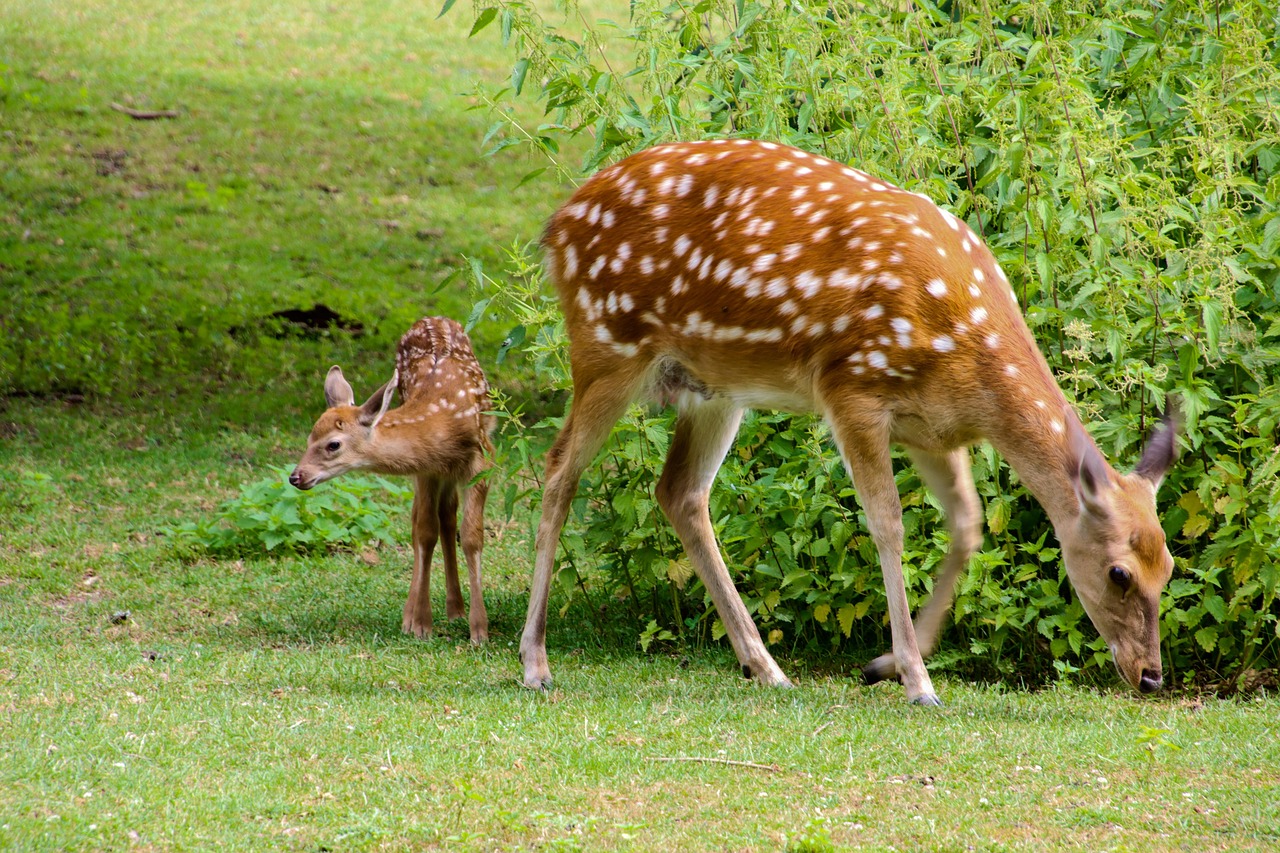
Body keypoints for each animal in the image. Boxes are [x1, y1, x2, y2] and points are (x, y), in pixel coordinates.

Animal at [289, 316, 495, 645]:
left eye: (333, 444)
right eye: (309, 438)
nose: (297, 476)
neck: (443, 421)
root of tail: (432, 318)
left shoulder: (482, 459)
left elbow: (472, 536)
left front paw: (479, 630)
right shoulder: (427, 468)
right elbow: (424, 531)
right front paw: (420, 622)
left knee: (447, 516)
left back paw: (456, 610)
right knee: (427, 520)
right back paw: (424, 612)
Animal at [519, 138, 1180, 705]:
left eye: (1169, 567)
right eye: (1119, 573)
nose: (1151, 676)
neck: (968, 353)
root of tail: (557, 224)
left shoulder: (936, 428)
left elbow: (967, 525)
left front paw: (884, 666)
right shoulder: (853, 390)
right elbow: (888, 525)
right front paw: (915, 679)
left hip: (713, 387)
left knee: (679, 490)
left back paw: (765, 667)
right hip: (607, 344)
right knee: (558, 469)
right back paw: (535, 663)